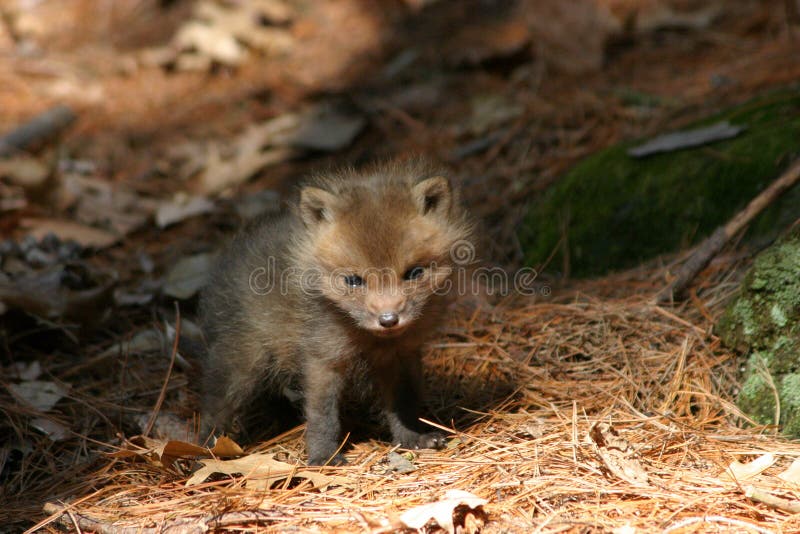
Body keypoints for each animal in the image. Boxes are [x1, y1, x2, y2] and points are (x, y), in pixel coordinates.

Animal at [199, 160, 473, 465]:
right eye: (353, 280)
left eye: (414, 273)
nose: (388, 319)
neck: (371, 340)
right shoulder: (323, 359)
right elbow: (322, 415)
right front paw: (324, 456)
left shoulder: (401, 355)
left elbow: (403, 402)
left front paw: (413, 438)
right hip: (242, 363)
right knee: (215, 404)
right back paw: (207, 449)